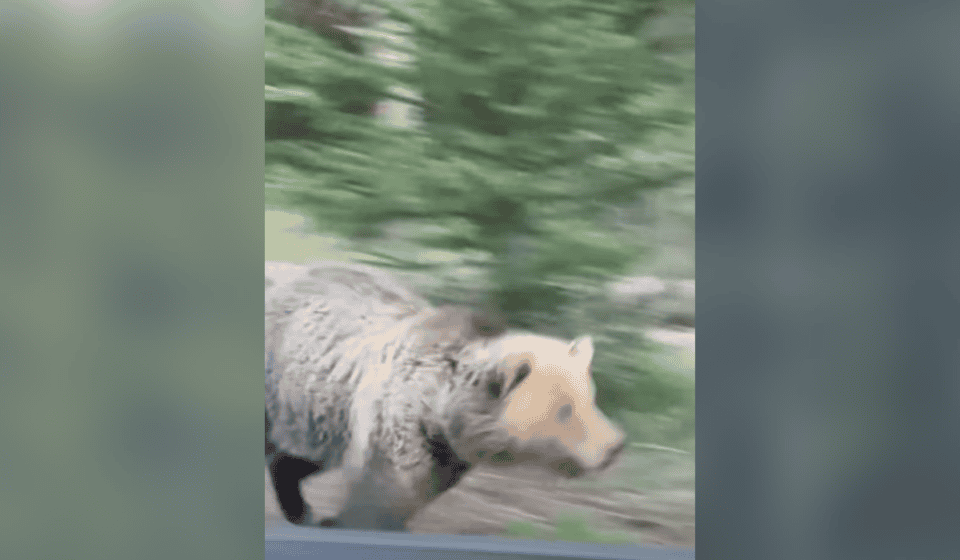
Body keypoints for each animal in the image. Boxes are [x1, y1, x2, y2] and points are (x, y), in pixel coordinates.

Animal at [265, 260, 627, 531]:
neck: (441, 410)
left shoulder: (445, 454)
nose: (614, 447)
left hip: (313, 409)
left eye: (592, 398)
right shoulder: (399, 425)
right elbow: (381, 495)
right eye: (565, 409)